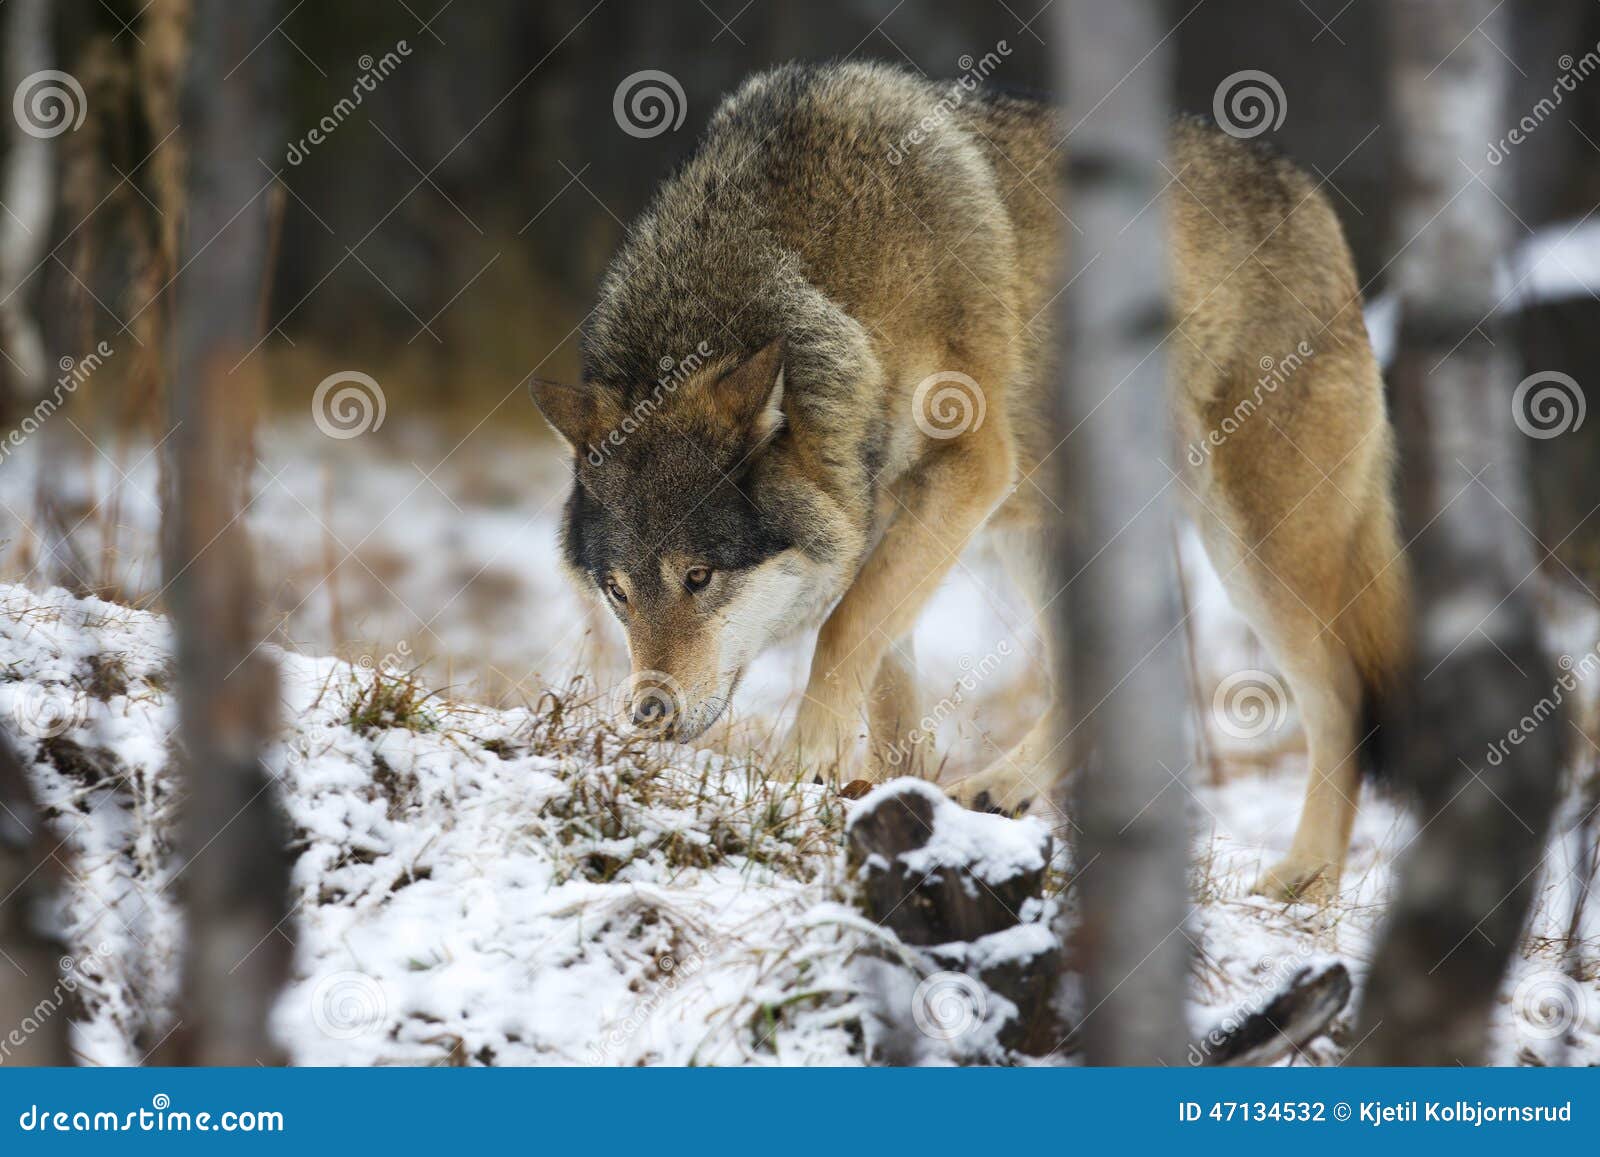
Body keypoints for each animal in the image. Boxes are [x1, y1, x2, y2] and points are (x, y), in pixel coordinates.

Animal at [531, 62, 1409, 901]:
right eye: (616, 591)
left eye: (699, 576)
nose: (649, 715)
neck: (823, 280)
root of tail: (1314, 197)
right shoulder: (876, 515)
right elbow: (884, 684)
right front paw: (883, 799)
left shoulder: (967, 466)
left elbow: (844, 629)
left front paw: (803, 763)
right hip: (1046, 531)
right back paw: (996, 791)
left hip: (1253, 544)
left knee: (1344, 702)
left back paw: (1306, 883)